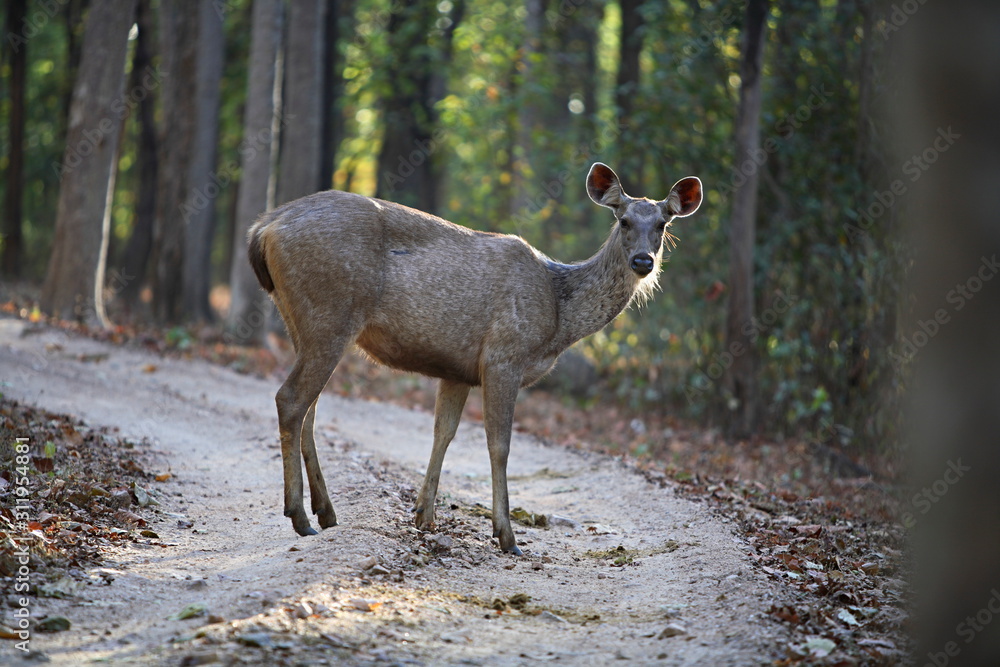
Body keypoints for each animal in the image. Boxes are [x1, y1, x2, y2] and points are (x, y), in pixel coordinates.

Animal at [247, 162, 702, 555]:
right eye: (622, 220)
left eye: (663, 224)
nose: (643, 261)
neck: (558, 313)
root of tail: (263, 228)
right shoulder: (503, 356)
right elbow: (498, 445)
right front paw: (506, 535)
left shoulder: (458, 370)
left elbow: (443, 433)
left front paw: (424, 515)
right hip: (329, 315)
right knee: (291, 399)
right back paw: (299, 515)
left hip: (303, 323)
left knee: (309, 410)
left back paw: (326, 512)